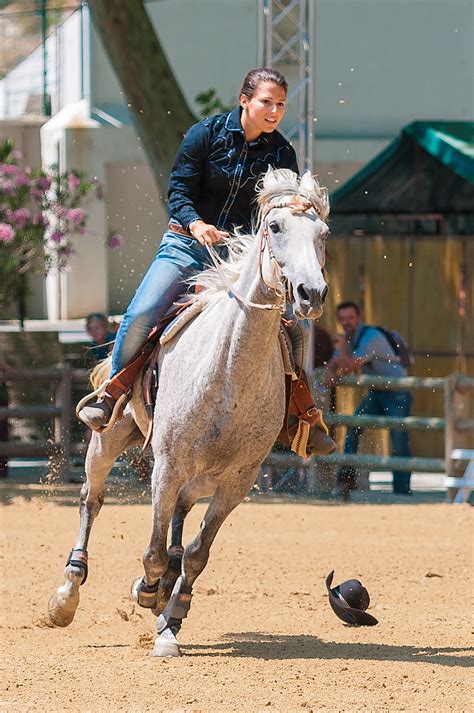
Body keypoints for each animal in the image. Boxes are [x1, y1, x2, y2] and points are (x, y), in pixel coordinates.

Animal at [48, 167, 330, 657]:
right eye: (275, 227)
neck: (228, 371)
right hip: (109, 438)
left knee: (178, 519)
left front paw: (170, 618)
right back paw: (68, 592)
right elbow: (153, 552)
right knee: (91, 499)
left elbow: (197, 553)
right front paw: (147, 592)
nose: (311, 293)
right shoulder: (167, 464)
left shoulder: (238, 480)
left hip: (200, 475)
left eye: (323, 234)